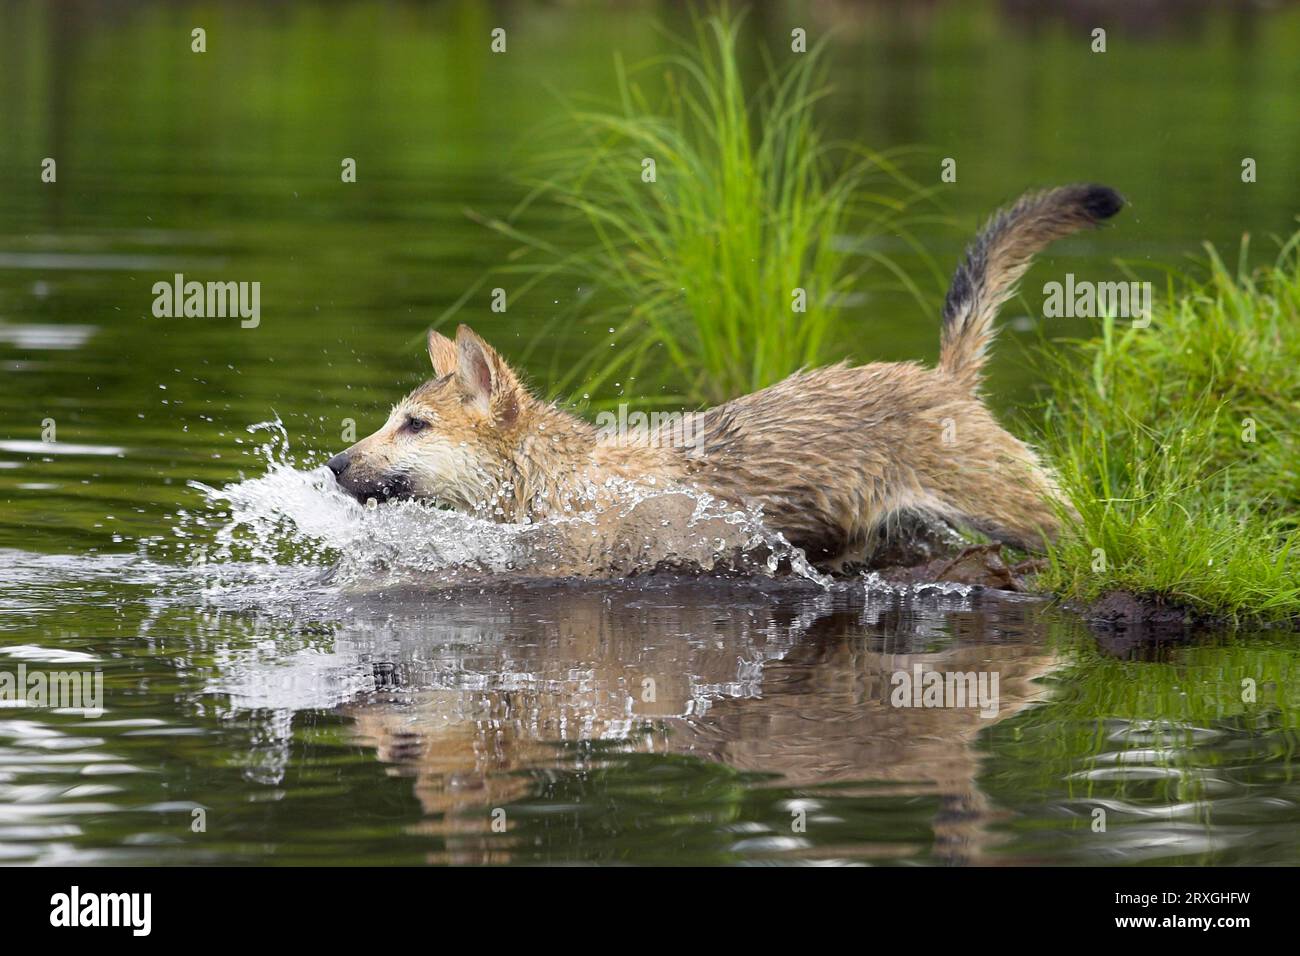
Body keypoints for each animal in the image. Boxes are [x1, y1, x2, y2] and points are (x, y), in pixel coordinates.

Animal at [326, 184, 1122, 569]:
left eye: (415, 424)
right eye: (391, 418)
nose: (333, 463)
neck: (560, 479)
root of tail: (946, 379)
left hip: (1012, 504)